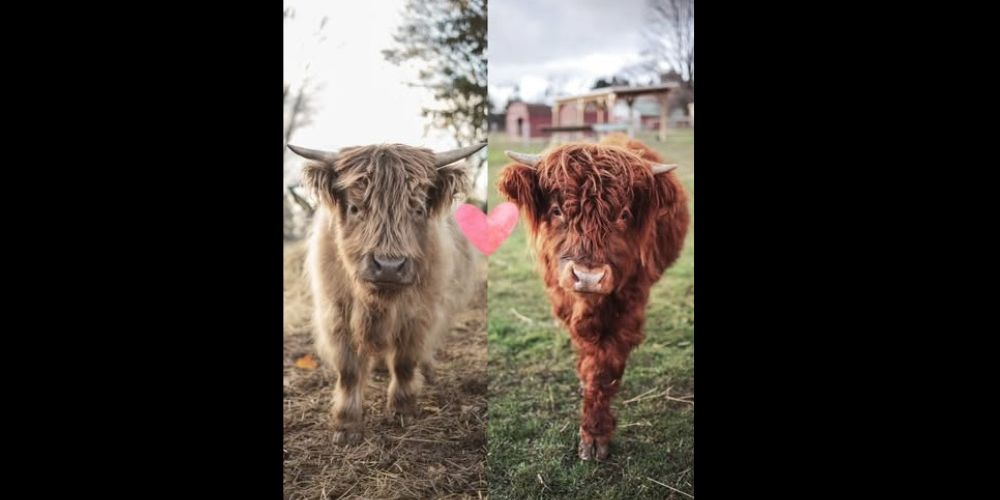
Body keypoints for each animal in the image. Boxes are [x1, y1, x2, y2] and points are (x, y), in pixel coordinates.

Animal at [288, 142, 486, 444]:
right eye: (355, 207)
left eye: (417, 209)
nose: (389, 267)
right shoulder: (337, 313)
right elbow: (348, 370)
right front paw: (346, 424)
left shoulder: (419, 314)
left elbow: (405, 361)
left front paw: (402, 409)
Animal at [498, 133, 690, 460]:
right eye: (557, 210)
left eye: (624, 214)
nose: (588, 277)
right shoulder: (562, 298)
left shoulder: (629, 304)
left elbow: (604, 366)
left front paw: (595, 435)